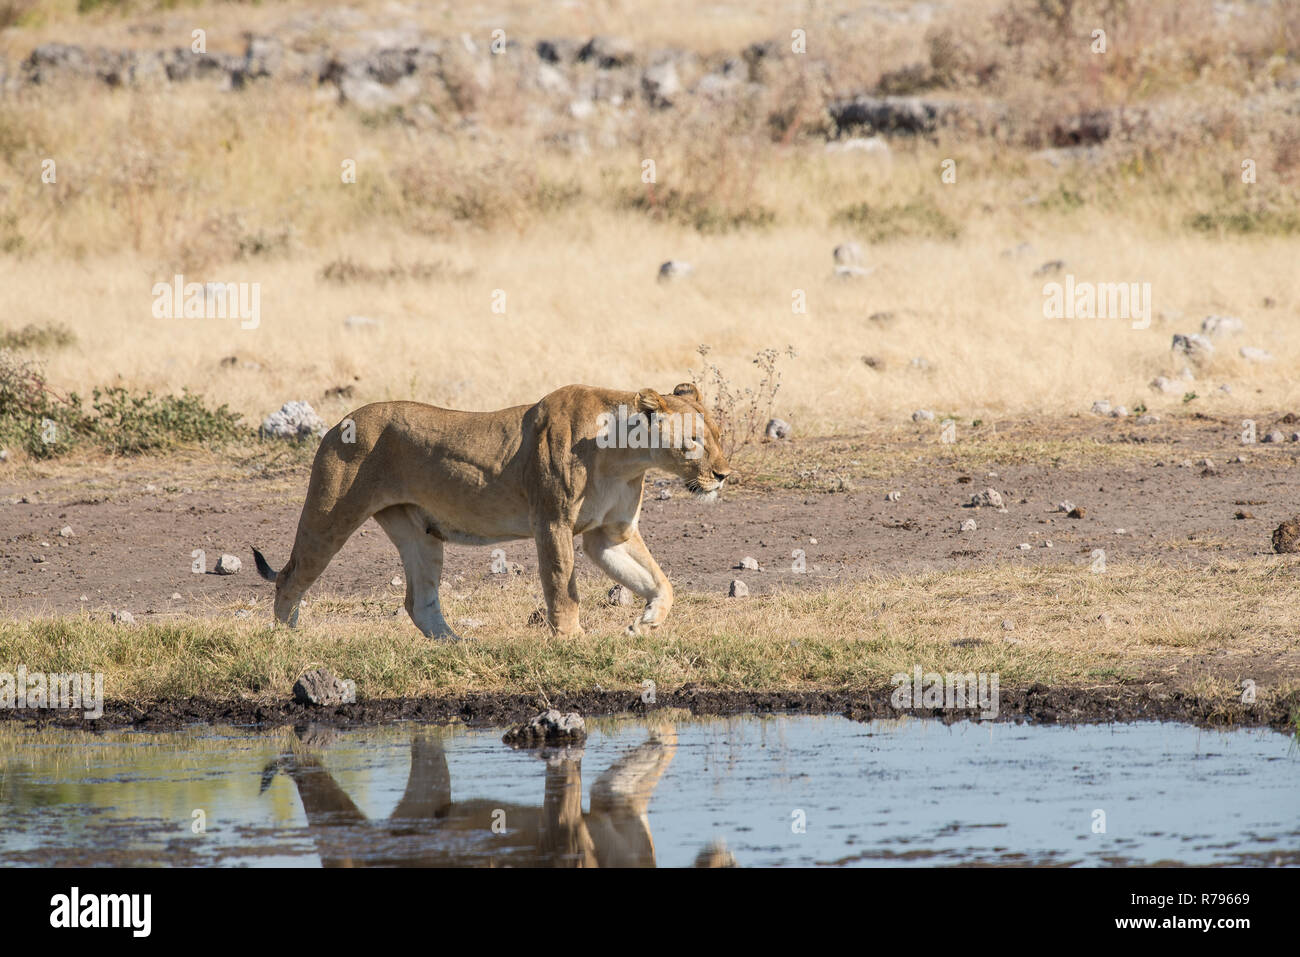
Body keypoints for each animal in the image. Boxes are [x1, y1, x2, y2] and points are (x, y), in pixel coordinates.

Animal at [252, 383, 733, 639]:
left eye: (718, 434)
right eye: (693, 441)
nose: (724, 474)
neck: (626, 457)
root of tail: (338, 423)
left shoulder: (609, 534)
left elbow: (660, 583)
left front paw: (644, 625)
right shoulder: (552, 522)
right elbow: (562, 586)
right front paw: (572, 640)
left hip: (418, 533)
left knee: (419, 601)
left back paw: (458, 645)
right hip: (330, 515)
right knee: (290, 577)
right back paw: (290, 639)